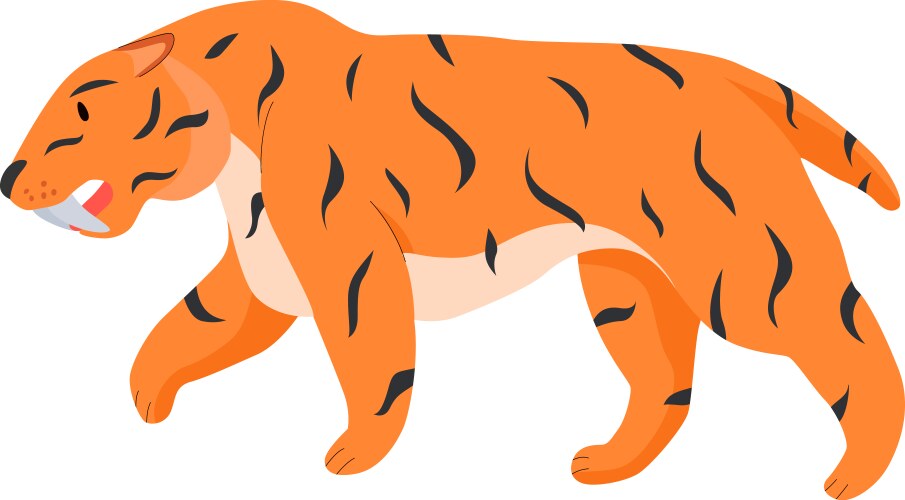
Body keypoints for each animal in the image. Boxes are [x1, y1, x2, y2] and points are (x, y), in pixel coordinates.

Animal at [2, 1, 902, 498]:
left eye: (71, 122)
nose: (9, 178)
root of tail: (731, 72)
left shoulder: (344, 260)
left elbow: (372, 361)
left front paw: (354, 455)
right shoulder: (263, 265)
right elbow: (187, 322)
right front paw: (146, 398)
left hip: (745, 276)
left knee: (854, 344)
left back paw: (852, 477)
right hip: (625, 281)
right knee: (664, 385)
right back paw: (605, 467)